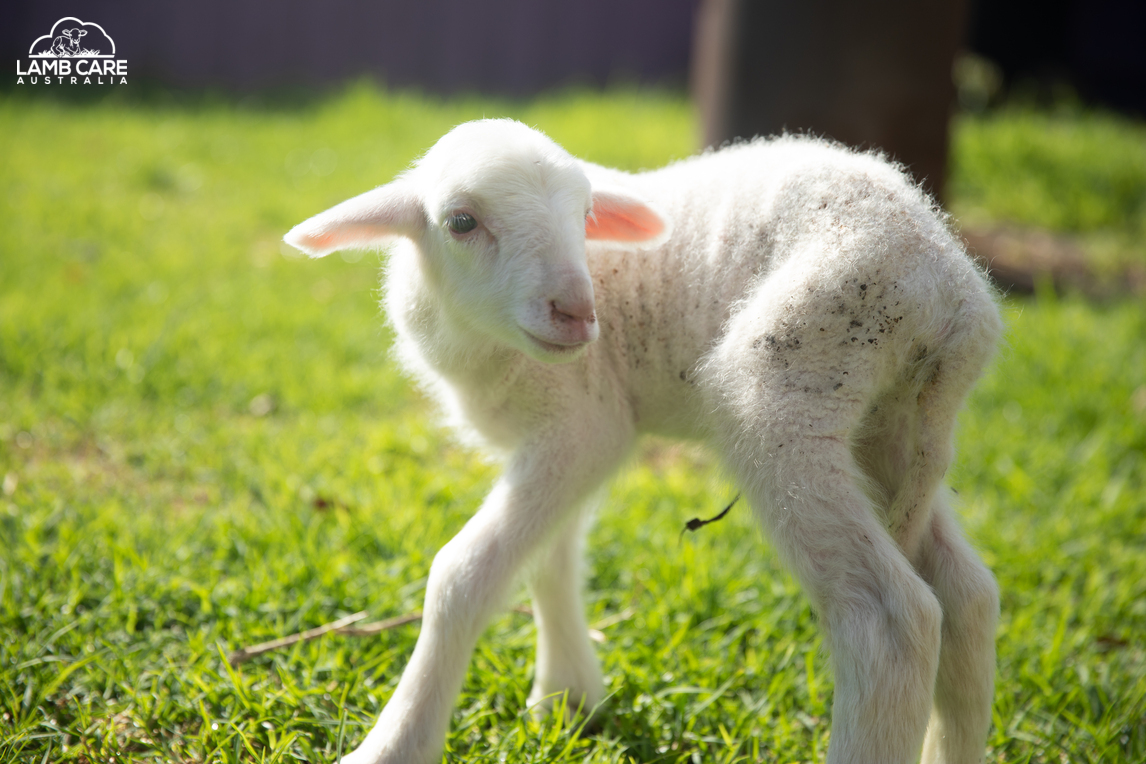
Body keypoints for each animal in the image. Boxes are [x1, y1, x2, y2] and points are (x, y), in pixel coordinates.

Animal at [284, 118, 1002, 764]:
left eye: (586, 213)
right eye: (461, 222)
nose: (578, 313)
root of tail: (954, 299)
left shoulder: (582, 428)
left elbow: (462, 574)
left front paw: (394, 744)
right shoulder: (570, 445)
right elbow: (550, 557)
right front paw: (568, 696)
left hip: (790, 386)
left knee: (891, 621)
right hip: (890, 425)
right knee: (966, 594)